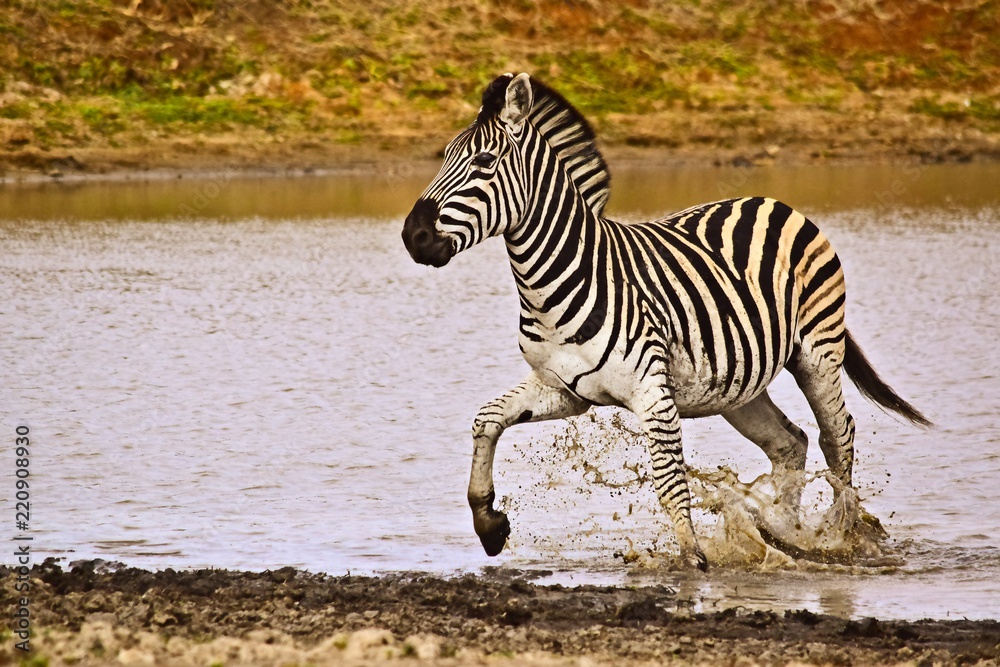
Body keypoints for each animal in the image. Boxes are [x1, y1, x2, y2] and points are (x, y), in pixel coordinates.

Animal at [401, 73, 930, 570]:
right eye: (443, 157)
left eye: (484, 162)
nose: (413, 236)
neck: (553, 281)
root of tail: (771, 202)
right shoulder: (564, 389)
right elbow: (486, 419)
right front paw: (488, 523)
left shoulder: (652, 395)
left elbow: (671, 482)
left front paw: (693, 560)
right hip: (737, 385)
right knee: (790, 442)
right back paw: (783, 531)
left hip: (817, 353)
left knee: (837, 435)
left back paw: (839, 535)